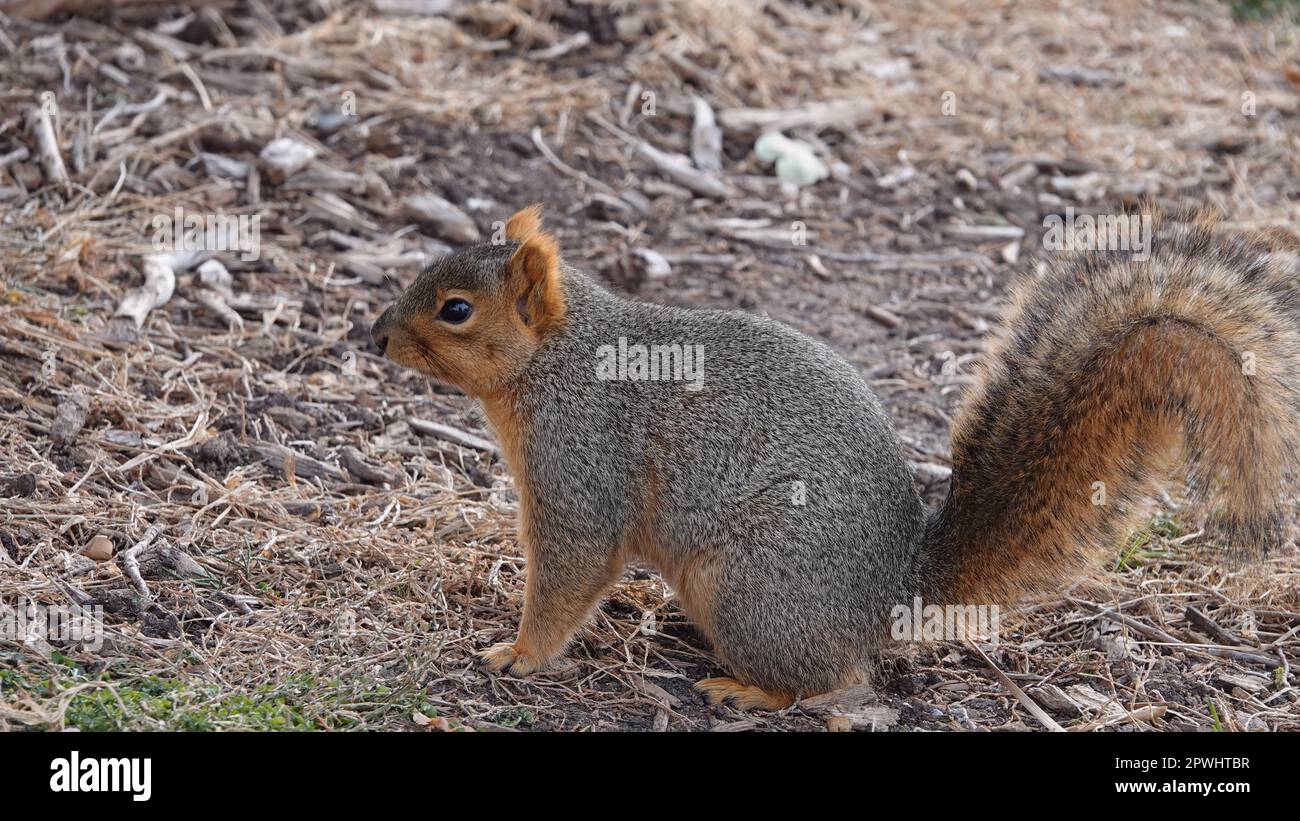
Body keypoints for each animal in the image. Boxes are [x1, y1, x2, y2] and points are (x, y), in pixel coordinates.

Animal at [371, 204, 1300, 710]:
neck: (556, 359)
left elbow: (569, 571)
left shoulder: (581, 462)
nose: (373, 337)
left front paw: (519, 654)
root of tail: (890, 592)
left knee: (830, 678)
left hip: (753, 583)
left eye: (456, 309)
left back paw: (749, 688)